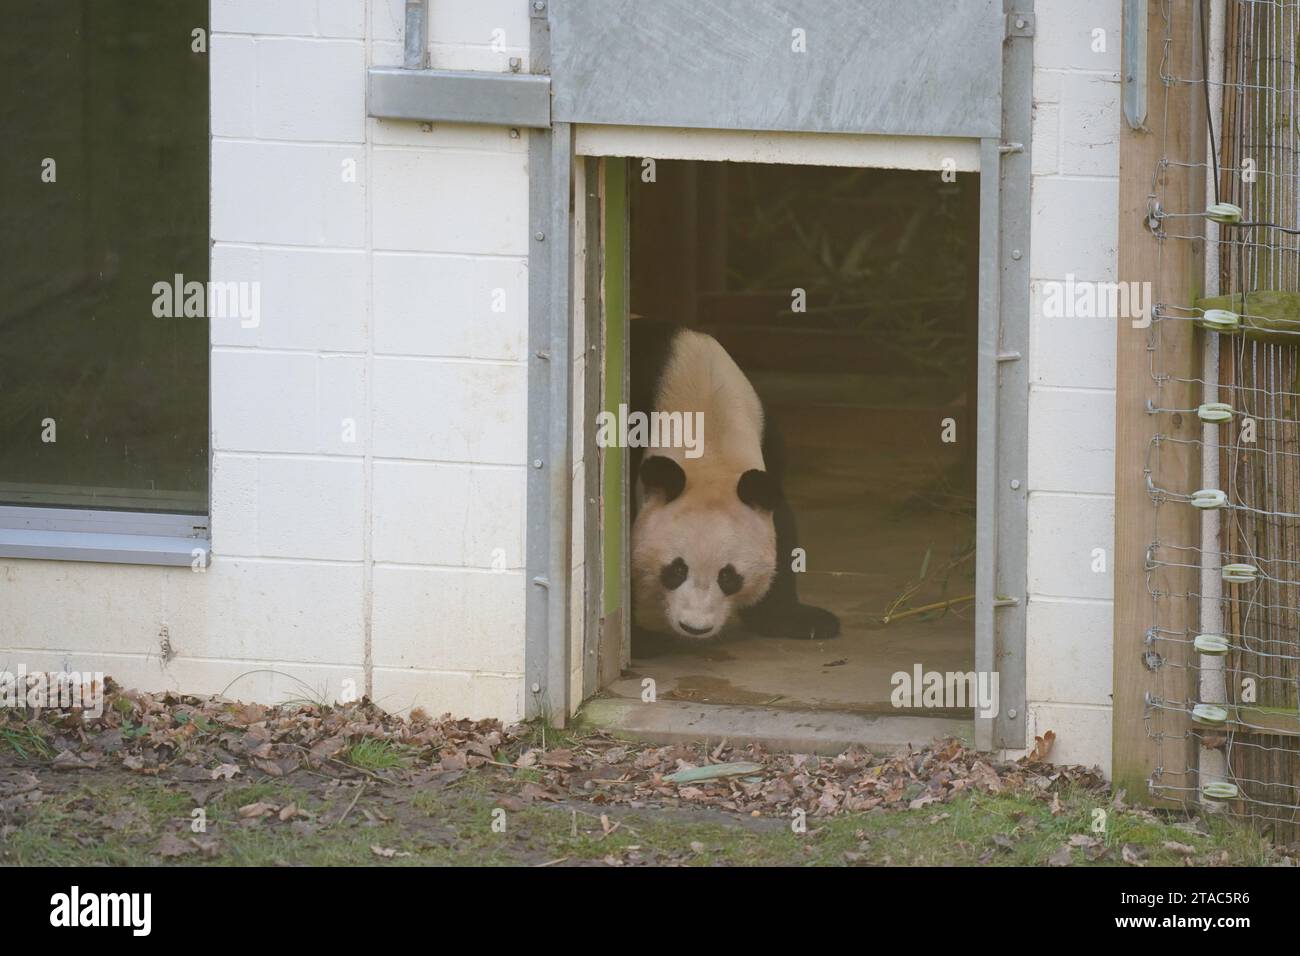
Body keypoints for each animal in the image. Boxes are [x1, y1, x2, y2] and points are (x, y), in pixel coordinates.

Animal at [629, 319, 840, 642]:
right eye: (675, 570)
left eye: (728, 576)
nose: (695, 628)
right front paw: (644, 642)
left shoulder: (766, 444)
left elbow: (781, 525)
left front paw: (797, 620)